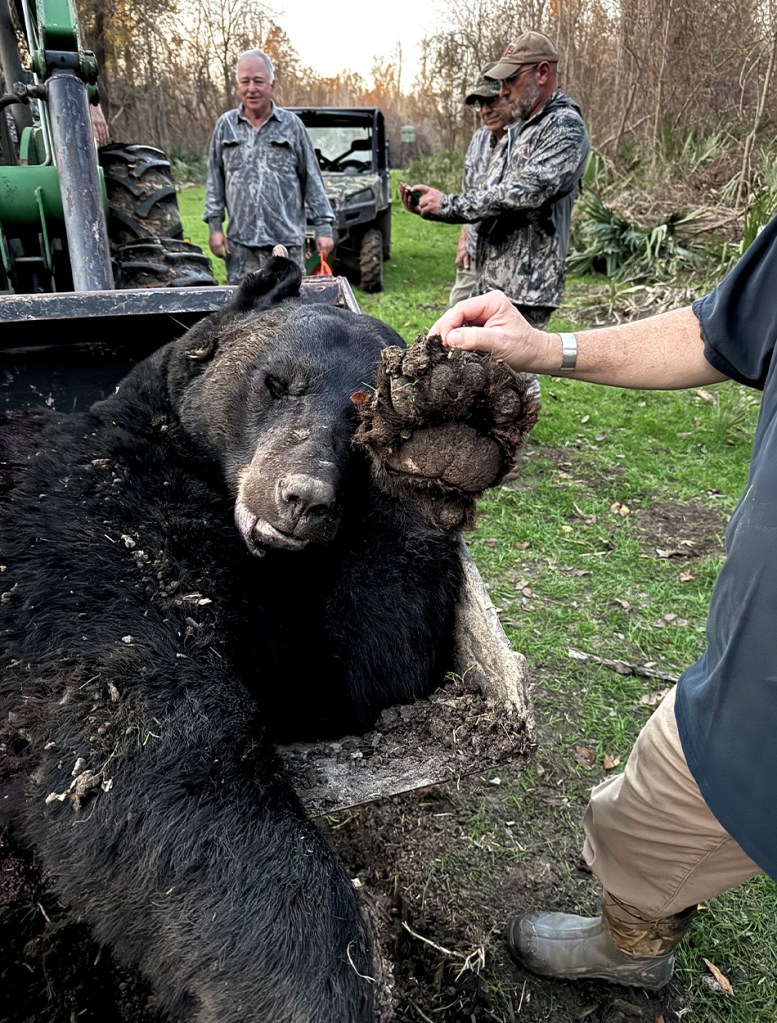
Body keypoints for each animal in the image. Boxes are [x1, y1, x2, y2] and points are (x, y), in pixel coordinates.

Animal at [0, 257, 537, 1022]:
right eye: (277, 382)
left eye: (358, 424)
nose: (304, 499)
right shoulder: (82, 524)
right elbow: (136, 716)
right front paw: (310, 981)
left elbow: (367, 681)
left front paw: (438, 435)